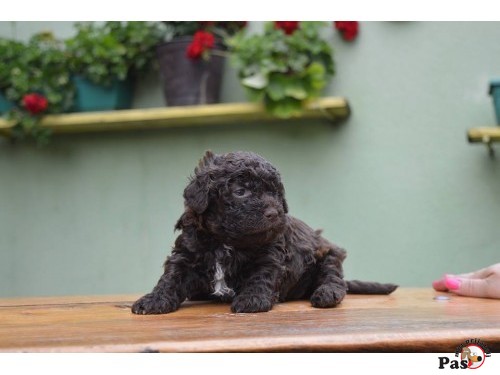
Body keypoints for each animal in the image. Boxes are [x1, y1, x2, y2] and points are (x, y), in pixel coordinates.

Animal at [133, 151, 398, 316]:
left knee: (333, 276)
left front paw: (252, 300)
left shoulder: (269, 254)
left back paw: (327, 293)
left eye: (276, 193)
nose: (274, 213)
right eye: (241, 191)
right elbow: (171, 278)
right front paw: (153, 300)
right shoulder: (186, 253)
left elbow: (261, 276)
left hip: (328, 253)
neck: (225, 241)